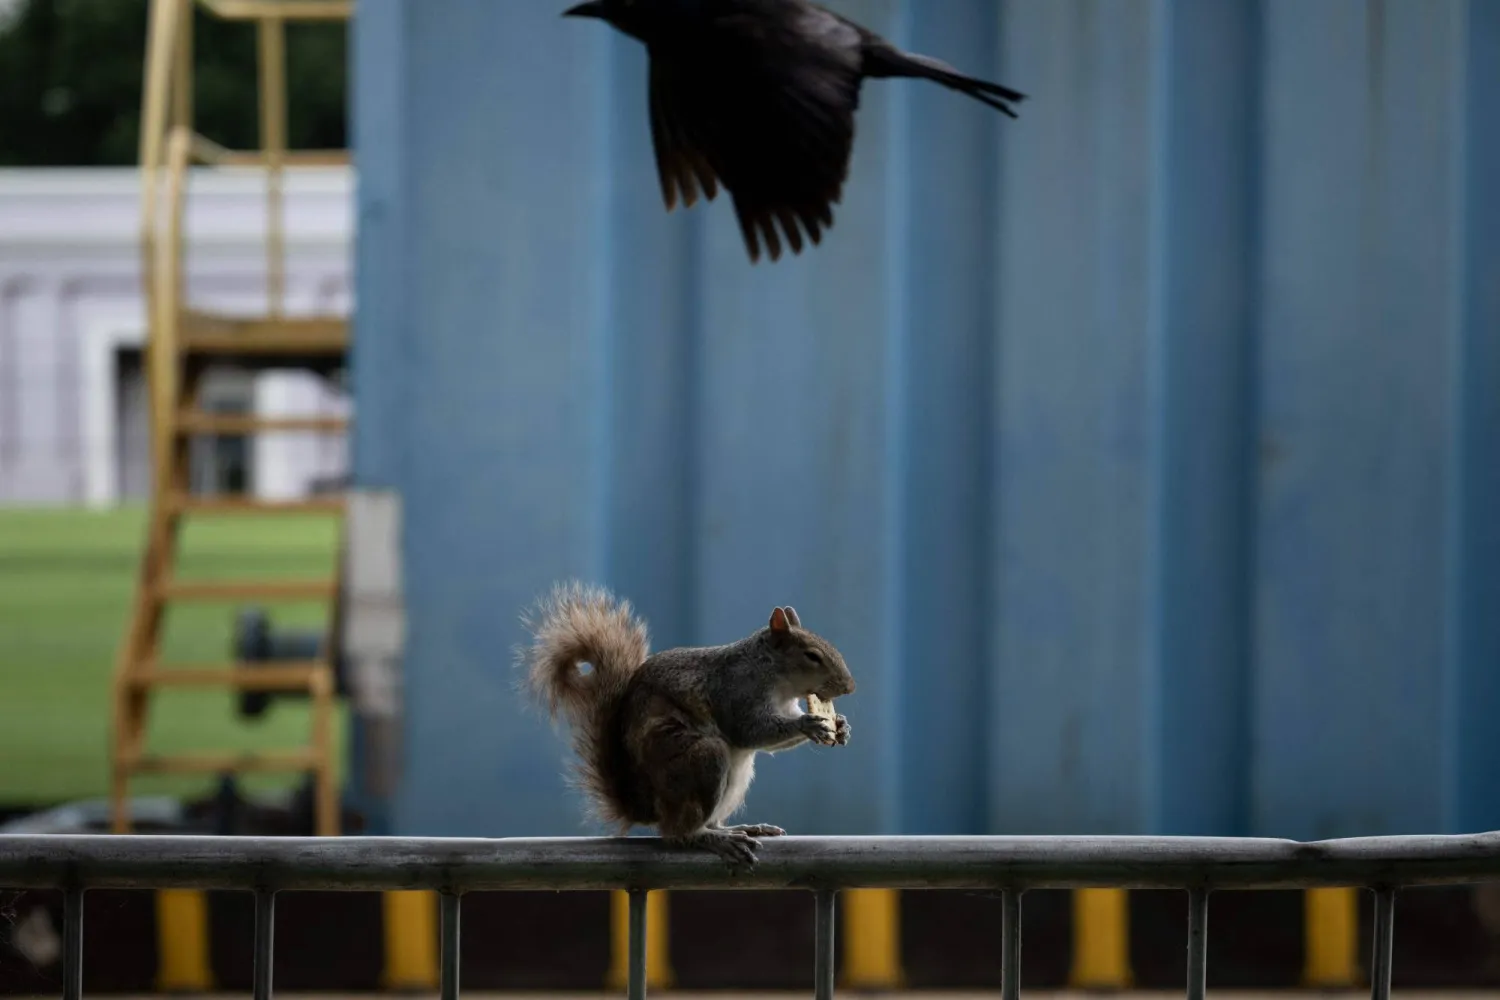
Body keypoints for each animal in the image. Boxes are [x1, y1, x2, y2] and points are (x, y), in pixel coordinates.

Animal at [518, 581, 855, 865]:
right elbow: (751, 730)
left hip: (736, 777)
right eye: (812, 656)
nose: (850, 687)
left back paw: (743, 828)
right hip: (701, 761)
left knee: (710, 819)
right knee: (678, 833)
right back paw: (713, 839)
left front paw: (840, 725)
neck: (773, 675)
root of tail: (647, 807)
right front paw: (810, 724)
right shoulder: (737, 693)